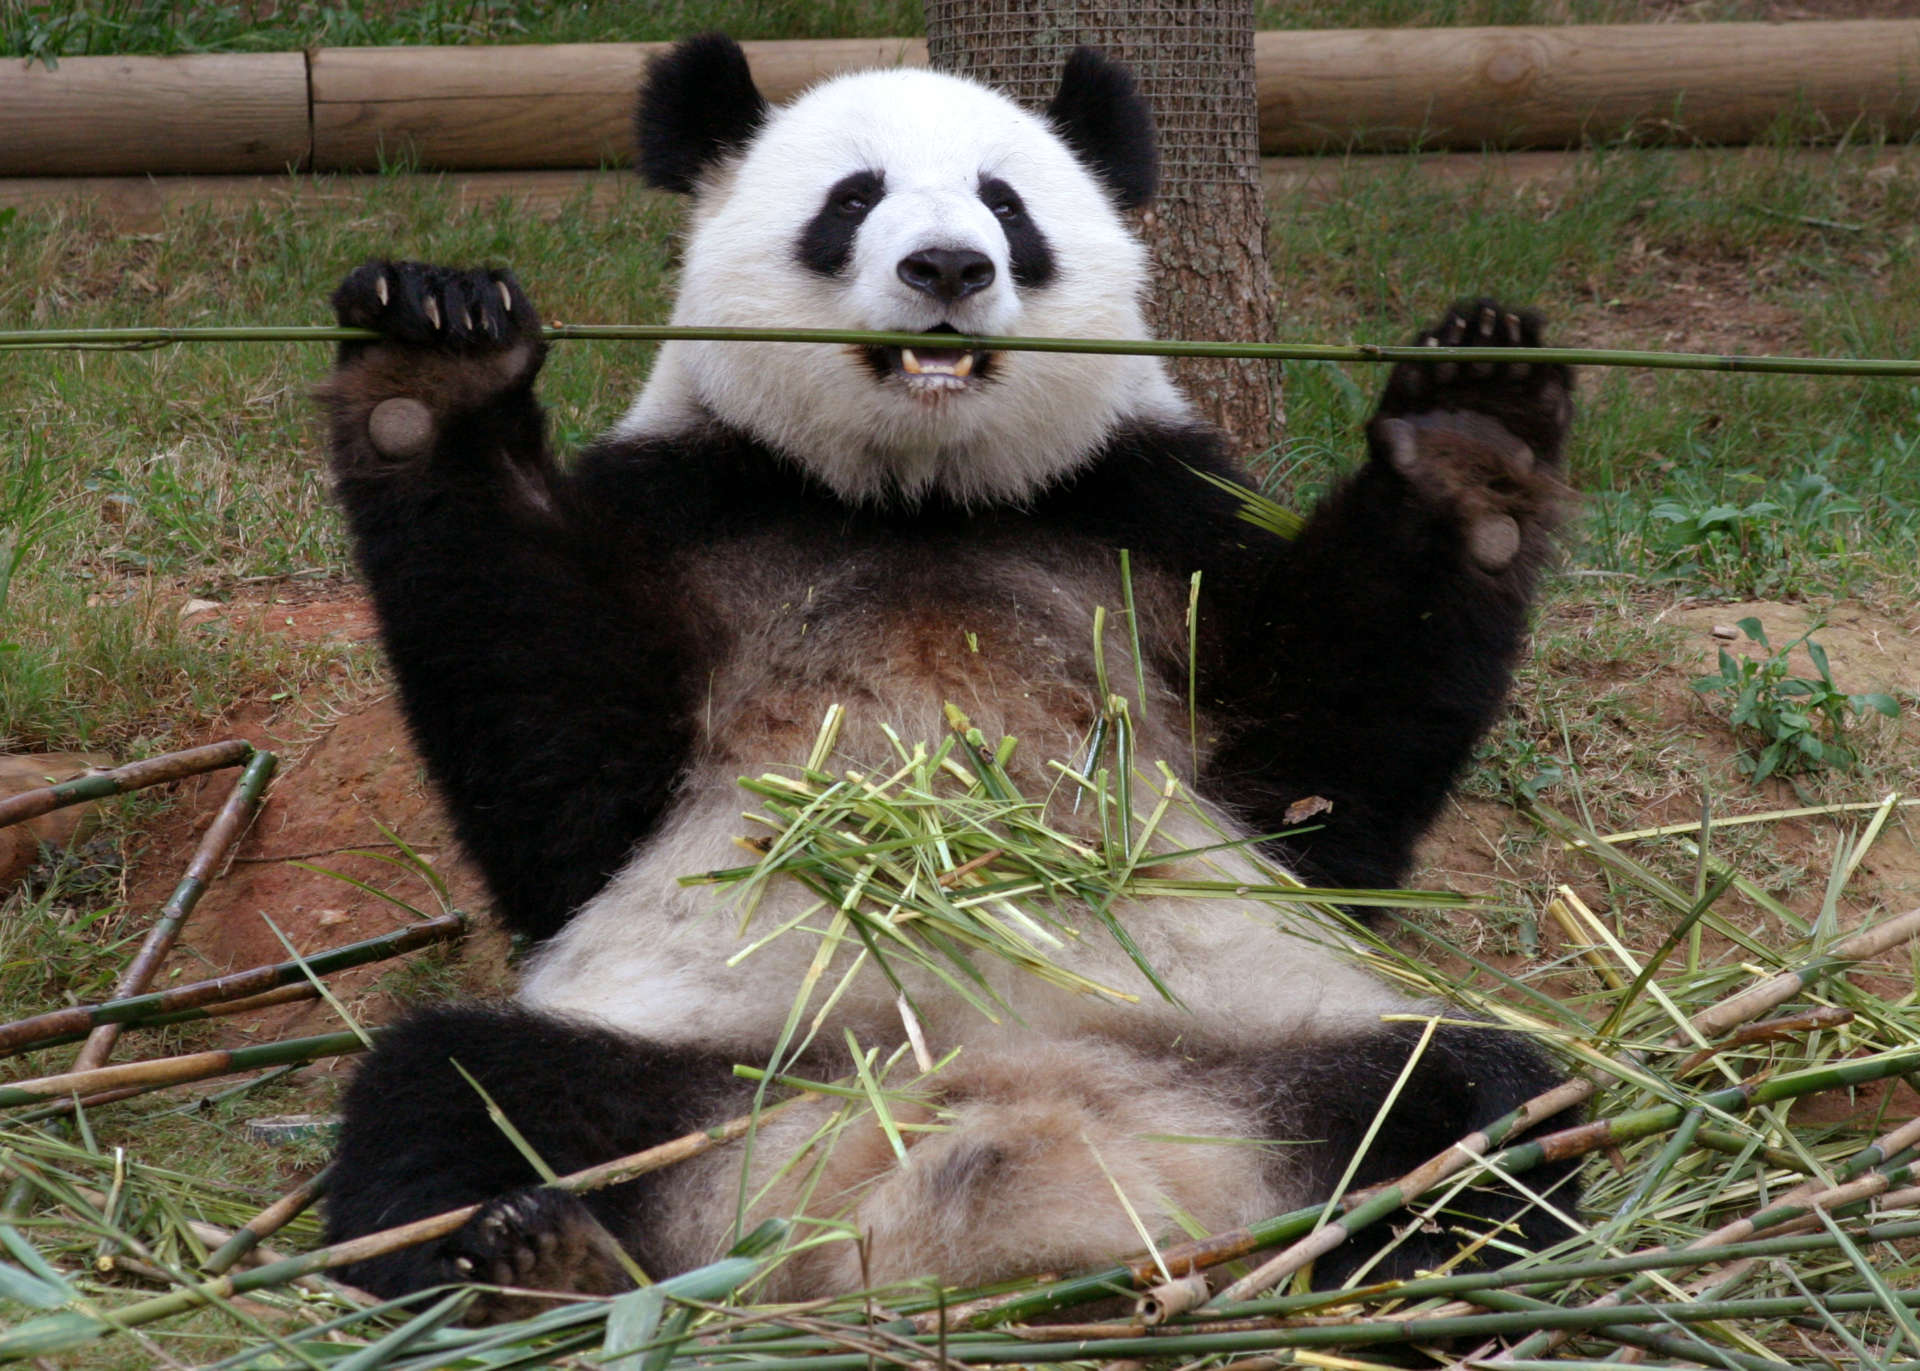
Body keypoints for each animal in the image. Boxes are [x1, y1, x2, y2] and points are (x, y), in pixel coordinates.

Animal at [317, 34, 1580, 1321]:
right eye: (852, 198)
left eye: (1007, 204)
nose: (948, 267)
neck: (919, 495)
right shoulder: (691, 506)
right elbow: (556, 783)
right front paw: (434, 354)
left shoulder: (1154, 518)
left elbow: (1325, 772)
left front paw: (1472, 434)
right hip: (704, 1069)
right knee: (452, 1098)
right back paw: (529, 1265)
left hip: (1268, 1043)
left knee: (1480, 1101)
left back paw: (1428, 1269)